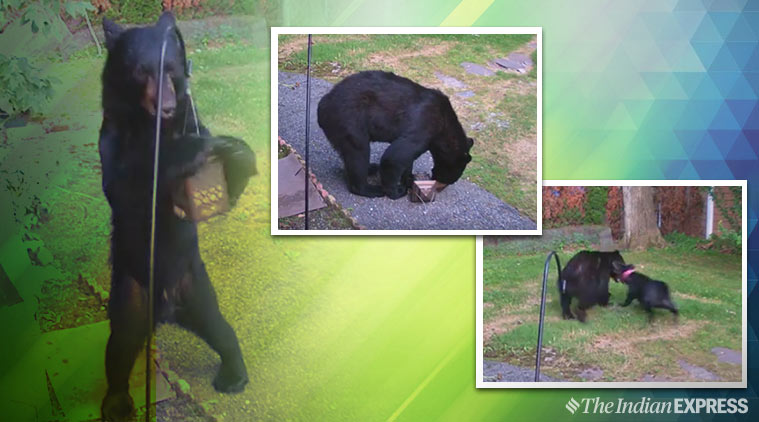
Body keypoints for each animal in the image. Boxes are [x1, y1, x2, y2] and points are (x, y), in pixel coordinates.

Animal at [99, 13, 255, 421]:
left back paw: (233, 375)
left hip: (195, 285)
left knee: (219, 327)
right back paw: (117, 402)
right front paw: (185, 155)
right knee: (119, 346)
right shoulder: (113, 136)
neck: (154, 126)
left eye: (171, 69)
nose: (167, 105)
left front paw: (235, 154)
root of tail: (167, 308)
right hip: (131, 290)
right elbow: (123, 187)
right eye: (142, 72)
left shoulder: (194, 117)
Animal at [317, 70, 474, 199]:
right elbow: (395, 157)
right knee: (358, 152)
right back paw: (371, 188)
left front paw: (409, 178)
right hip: (349, 120)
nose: (439, 188)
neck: (444, 127)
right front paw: (396, 191)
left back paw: (371, 168)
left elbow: (407, 159)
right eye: (447, 180)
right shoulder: (424, 126)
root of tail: (322, 105)